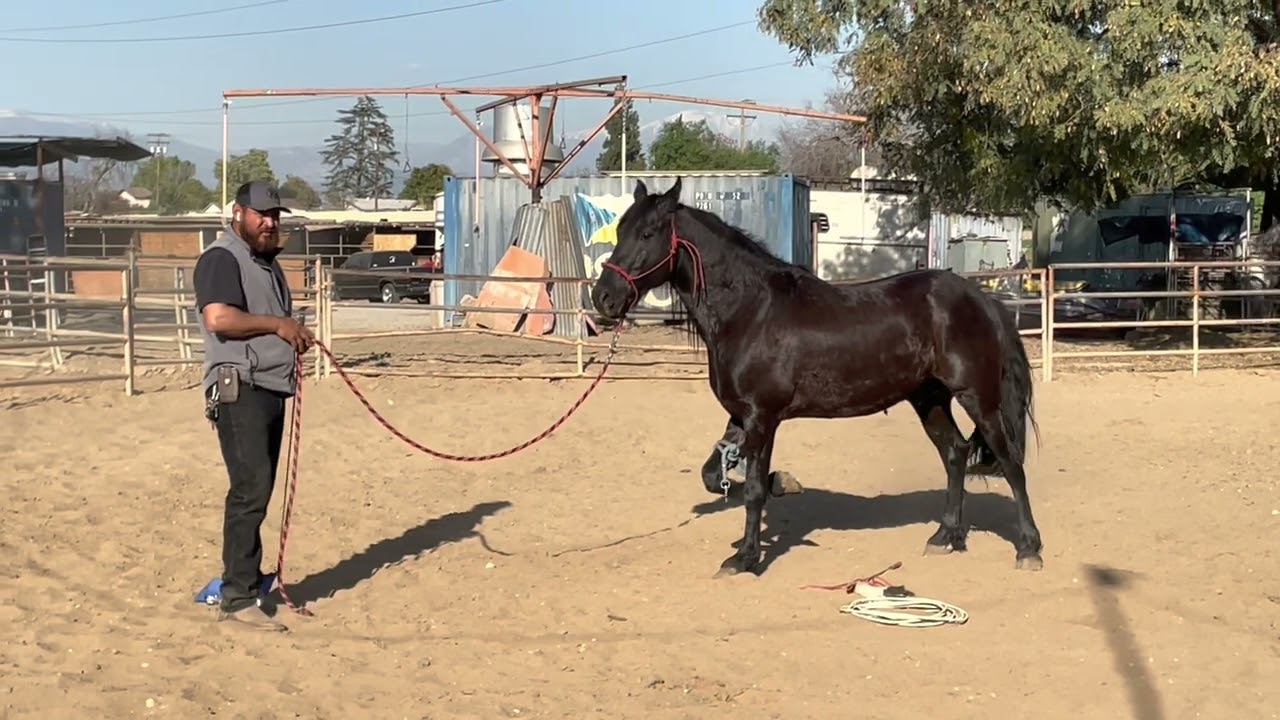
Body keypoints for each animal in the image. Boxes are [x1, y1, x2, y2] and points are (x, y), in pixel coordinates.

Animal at [590, 178, 1044, 577]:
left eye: (647, 233)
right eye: (620, 229)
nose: (603, 297)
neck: (750, 311)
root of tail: (981, 299)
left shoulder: (762, 418)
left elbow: (753, 490)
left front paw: (746, 557)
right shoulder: (740, 417)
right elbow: (712, 476)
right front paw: (776, 486)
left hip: (978, 398)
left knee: (1011, 463)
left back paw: (1028, 548)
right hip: (928, 399)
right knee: (955, 454)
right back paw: (945, 536)